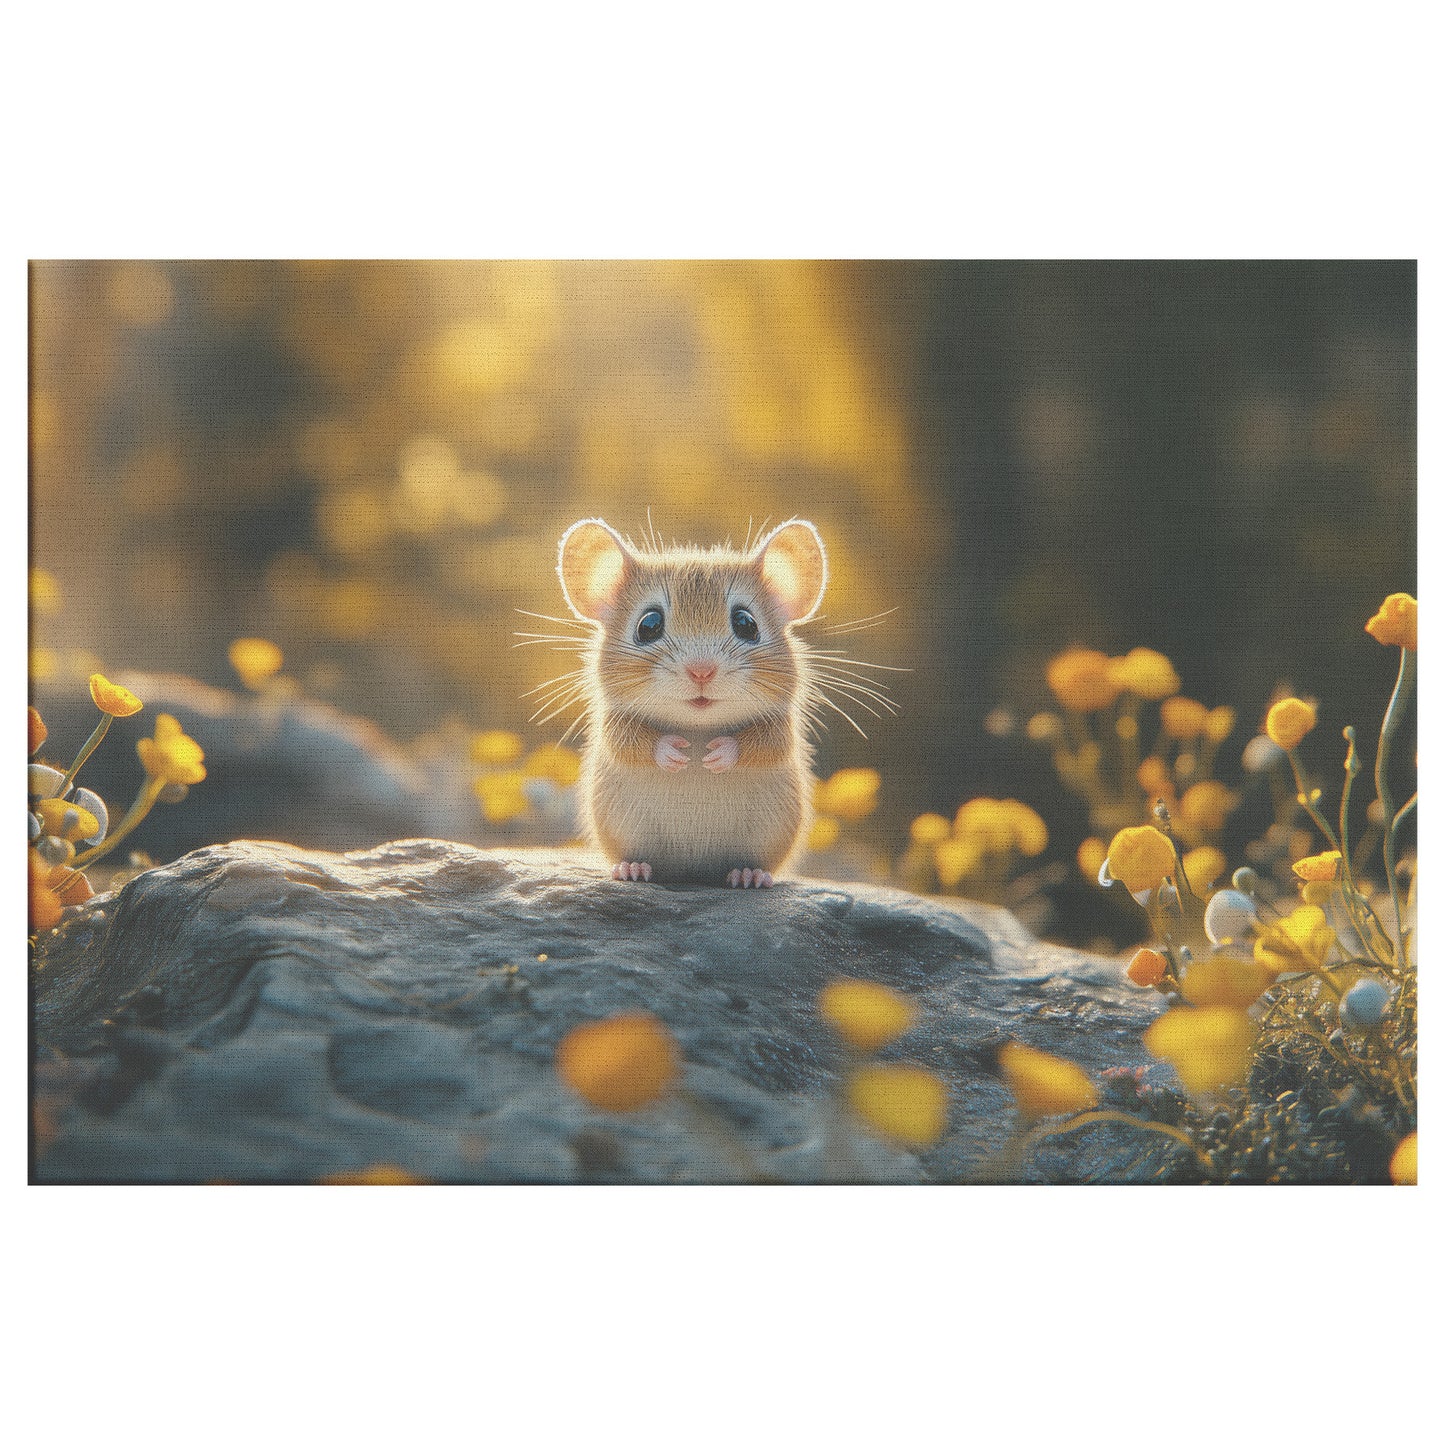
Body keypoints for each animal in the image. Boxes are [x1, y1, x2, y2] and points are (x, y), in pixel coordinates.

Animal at [554, 517, 833, 888]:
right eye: (648, 624)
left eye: (746, 623)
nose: (702, 671)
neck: (698, 727)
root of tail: (694, 871)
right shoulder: (615, 725)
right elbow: (633, 744)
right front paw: (676, 753)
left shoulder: (779, 728)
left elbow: (762, 745)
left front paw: (716, 754)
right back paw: (633, 869)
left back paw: (749, 875)